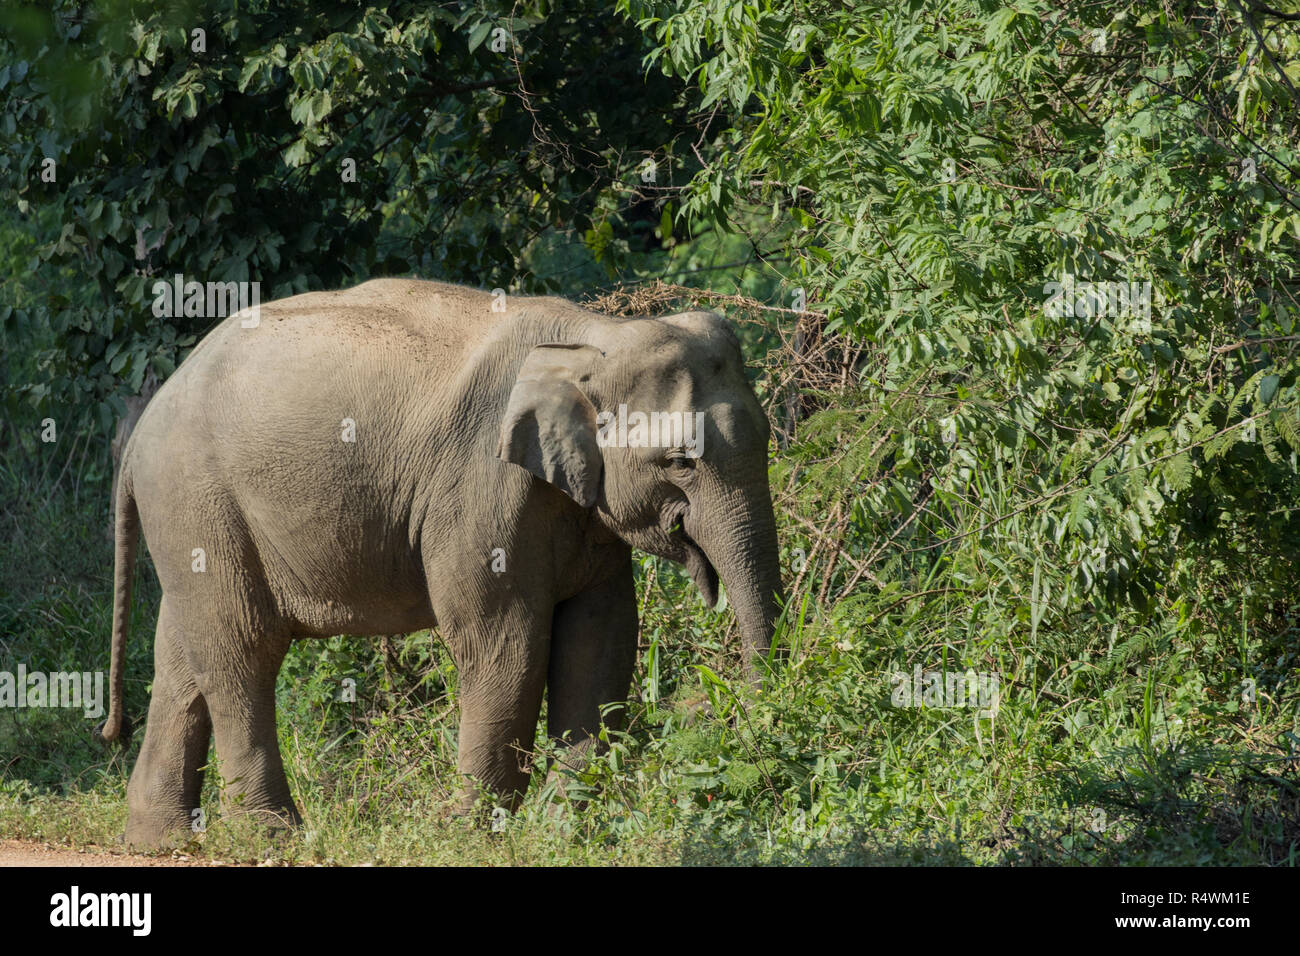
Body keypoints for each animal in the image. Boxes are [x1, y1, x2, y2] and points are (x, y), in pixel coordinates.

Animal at [96, 278, 784, 846]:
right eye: (681, 461)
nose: (743, 718)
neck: (592, 339)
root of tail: (141, 431)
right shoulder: (481, 487)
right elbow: (504, 640)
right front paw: (473, 831)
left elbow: (602, 636)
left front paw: (565, 826)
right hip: (198, 499)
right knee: (244, 648)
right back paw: (272, 837)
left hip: (191, 520)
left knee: (185, 651)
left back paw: (159, 840)